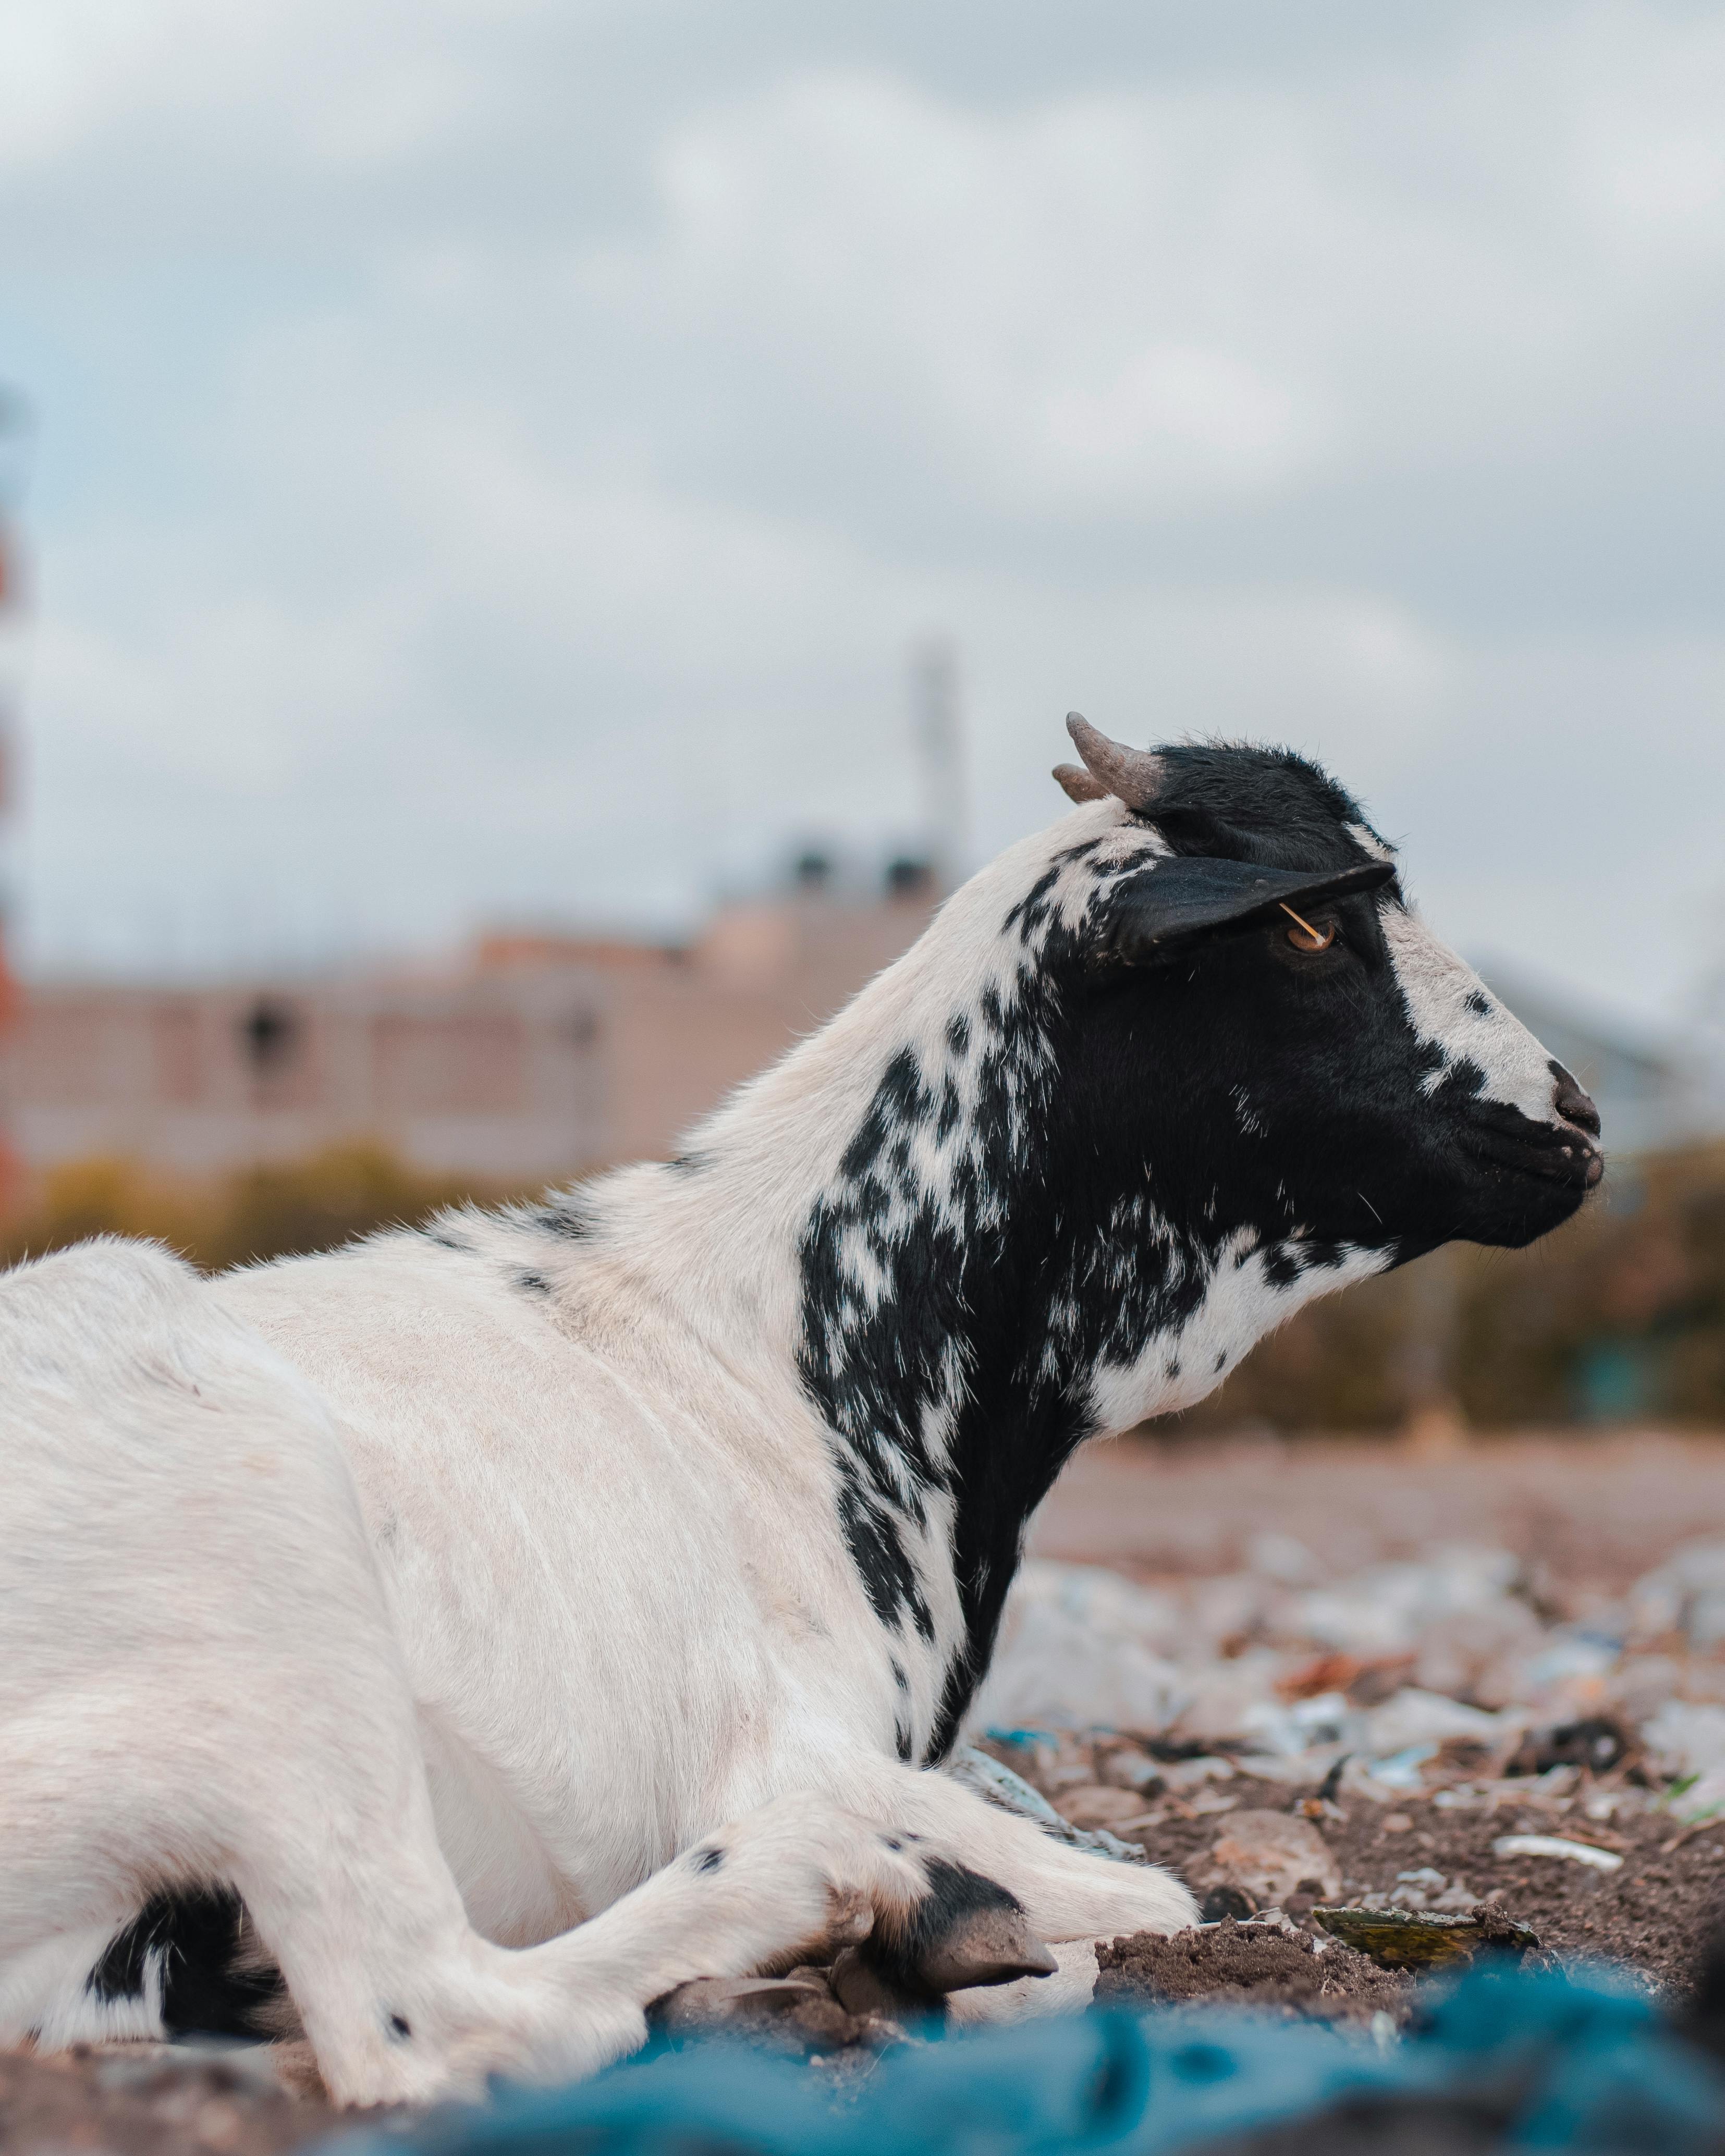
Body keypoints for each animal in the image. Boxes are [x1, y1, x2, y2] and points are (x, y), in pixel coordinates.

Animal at [0, 719, 1602, 2103]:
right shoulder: (800, 1737)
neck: (789, 1347)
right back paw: (832, 1900)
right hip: (264, 1565)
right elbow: (1146, 1904)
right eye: (1308, 924)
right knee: (426, 2012)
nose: (1576, 1118)